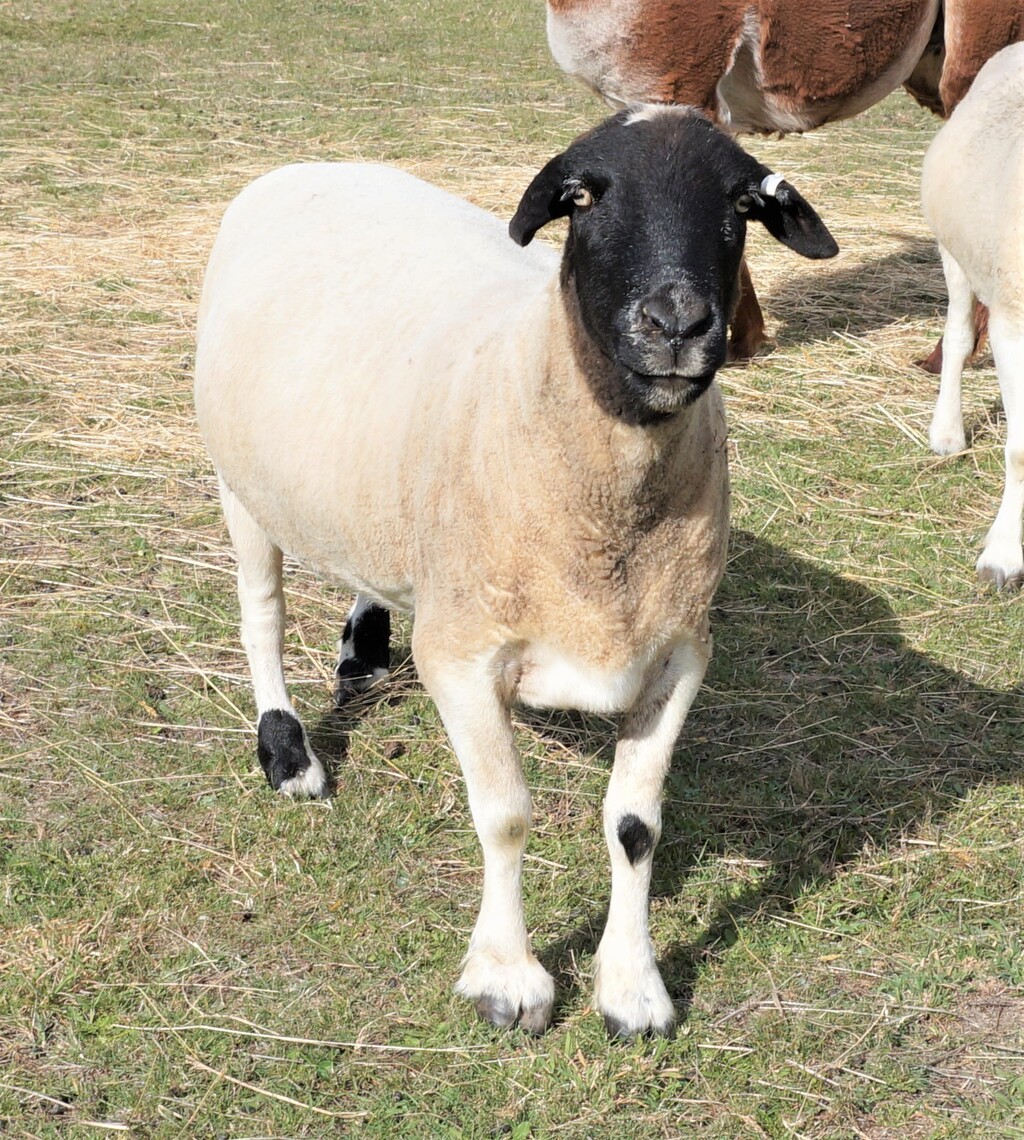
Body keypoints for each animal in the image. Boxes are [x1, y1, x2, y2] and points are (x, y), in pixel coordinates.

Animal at [194, 105, 838, 1037]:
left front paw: (633, 987)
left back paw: (364, 649)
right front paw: (506, 978)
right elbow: (504, 817)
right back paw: (287, 755)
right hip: (239, 479)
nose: (676, 324)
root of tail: (311, 167)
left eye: (741, 205)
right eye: (582, 197)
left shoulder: (678, 655)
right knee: (261, 615)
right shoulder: (464, 656)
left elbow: (636, 826)